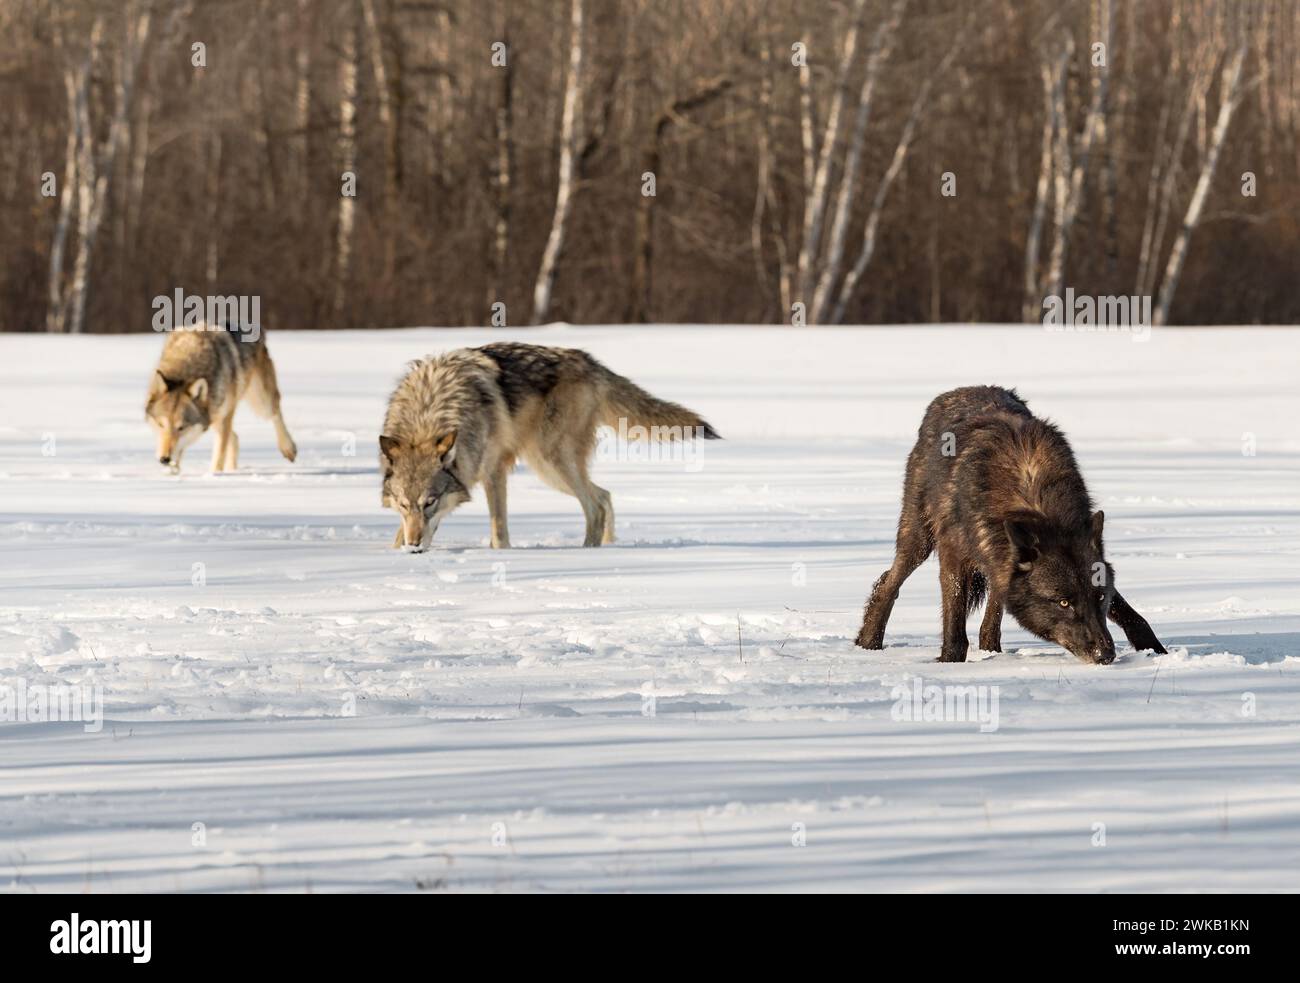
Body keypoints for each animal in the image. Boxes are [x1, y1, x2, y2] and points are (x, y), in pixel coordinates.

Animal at [145, 323, 297, 473]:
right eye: (160, 425)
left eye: (181, 427)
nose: (164, 459)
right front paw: (172, 472)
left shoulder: (223, 418)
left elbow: (218, 457)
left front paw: (215, 475)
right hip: (216, 416)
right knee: (235, 437)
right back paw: (232, 469)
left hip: (260, 402)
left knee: (275, 413)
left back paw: (288, 448)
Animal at [379, 342, 719, 549]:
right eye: (403, 504)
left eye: (430, 502)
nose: (414, 545)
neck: (428, 414)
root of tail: (590, 361)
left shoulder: (493, 471)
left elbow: (498, 529)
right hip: (549, 469)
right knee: (605, 495)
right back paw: (608, 544)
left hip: (552, 462)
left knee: (594, 505)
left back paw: (588, 551)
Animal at [855, 386, 1166, 664]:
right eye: (1063, 603)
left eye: (1099, 596)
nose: (1105, 655)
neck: (1036, 506)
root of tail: (959, 390)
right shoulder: (953, 554)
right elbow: (954, 623)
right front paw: (949, 663)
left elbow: (1131, 614)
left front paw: (1157, 652)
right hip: (919, 537)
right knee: (888, 582)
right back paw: (868, 643)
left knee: (993, 608)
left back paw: (991, 649)